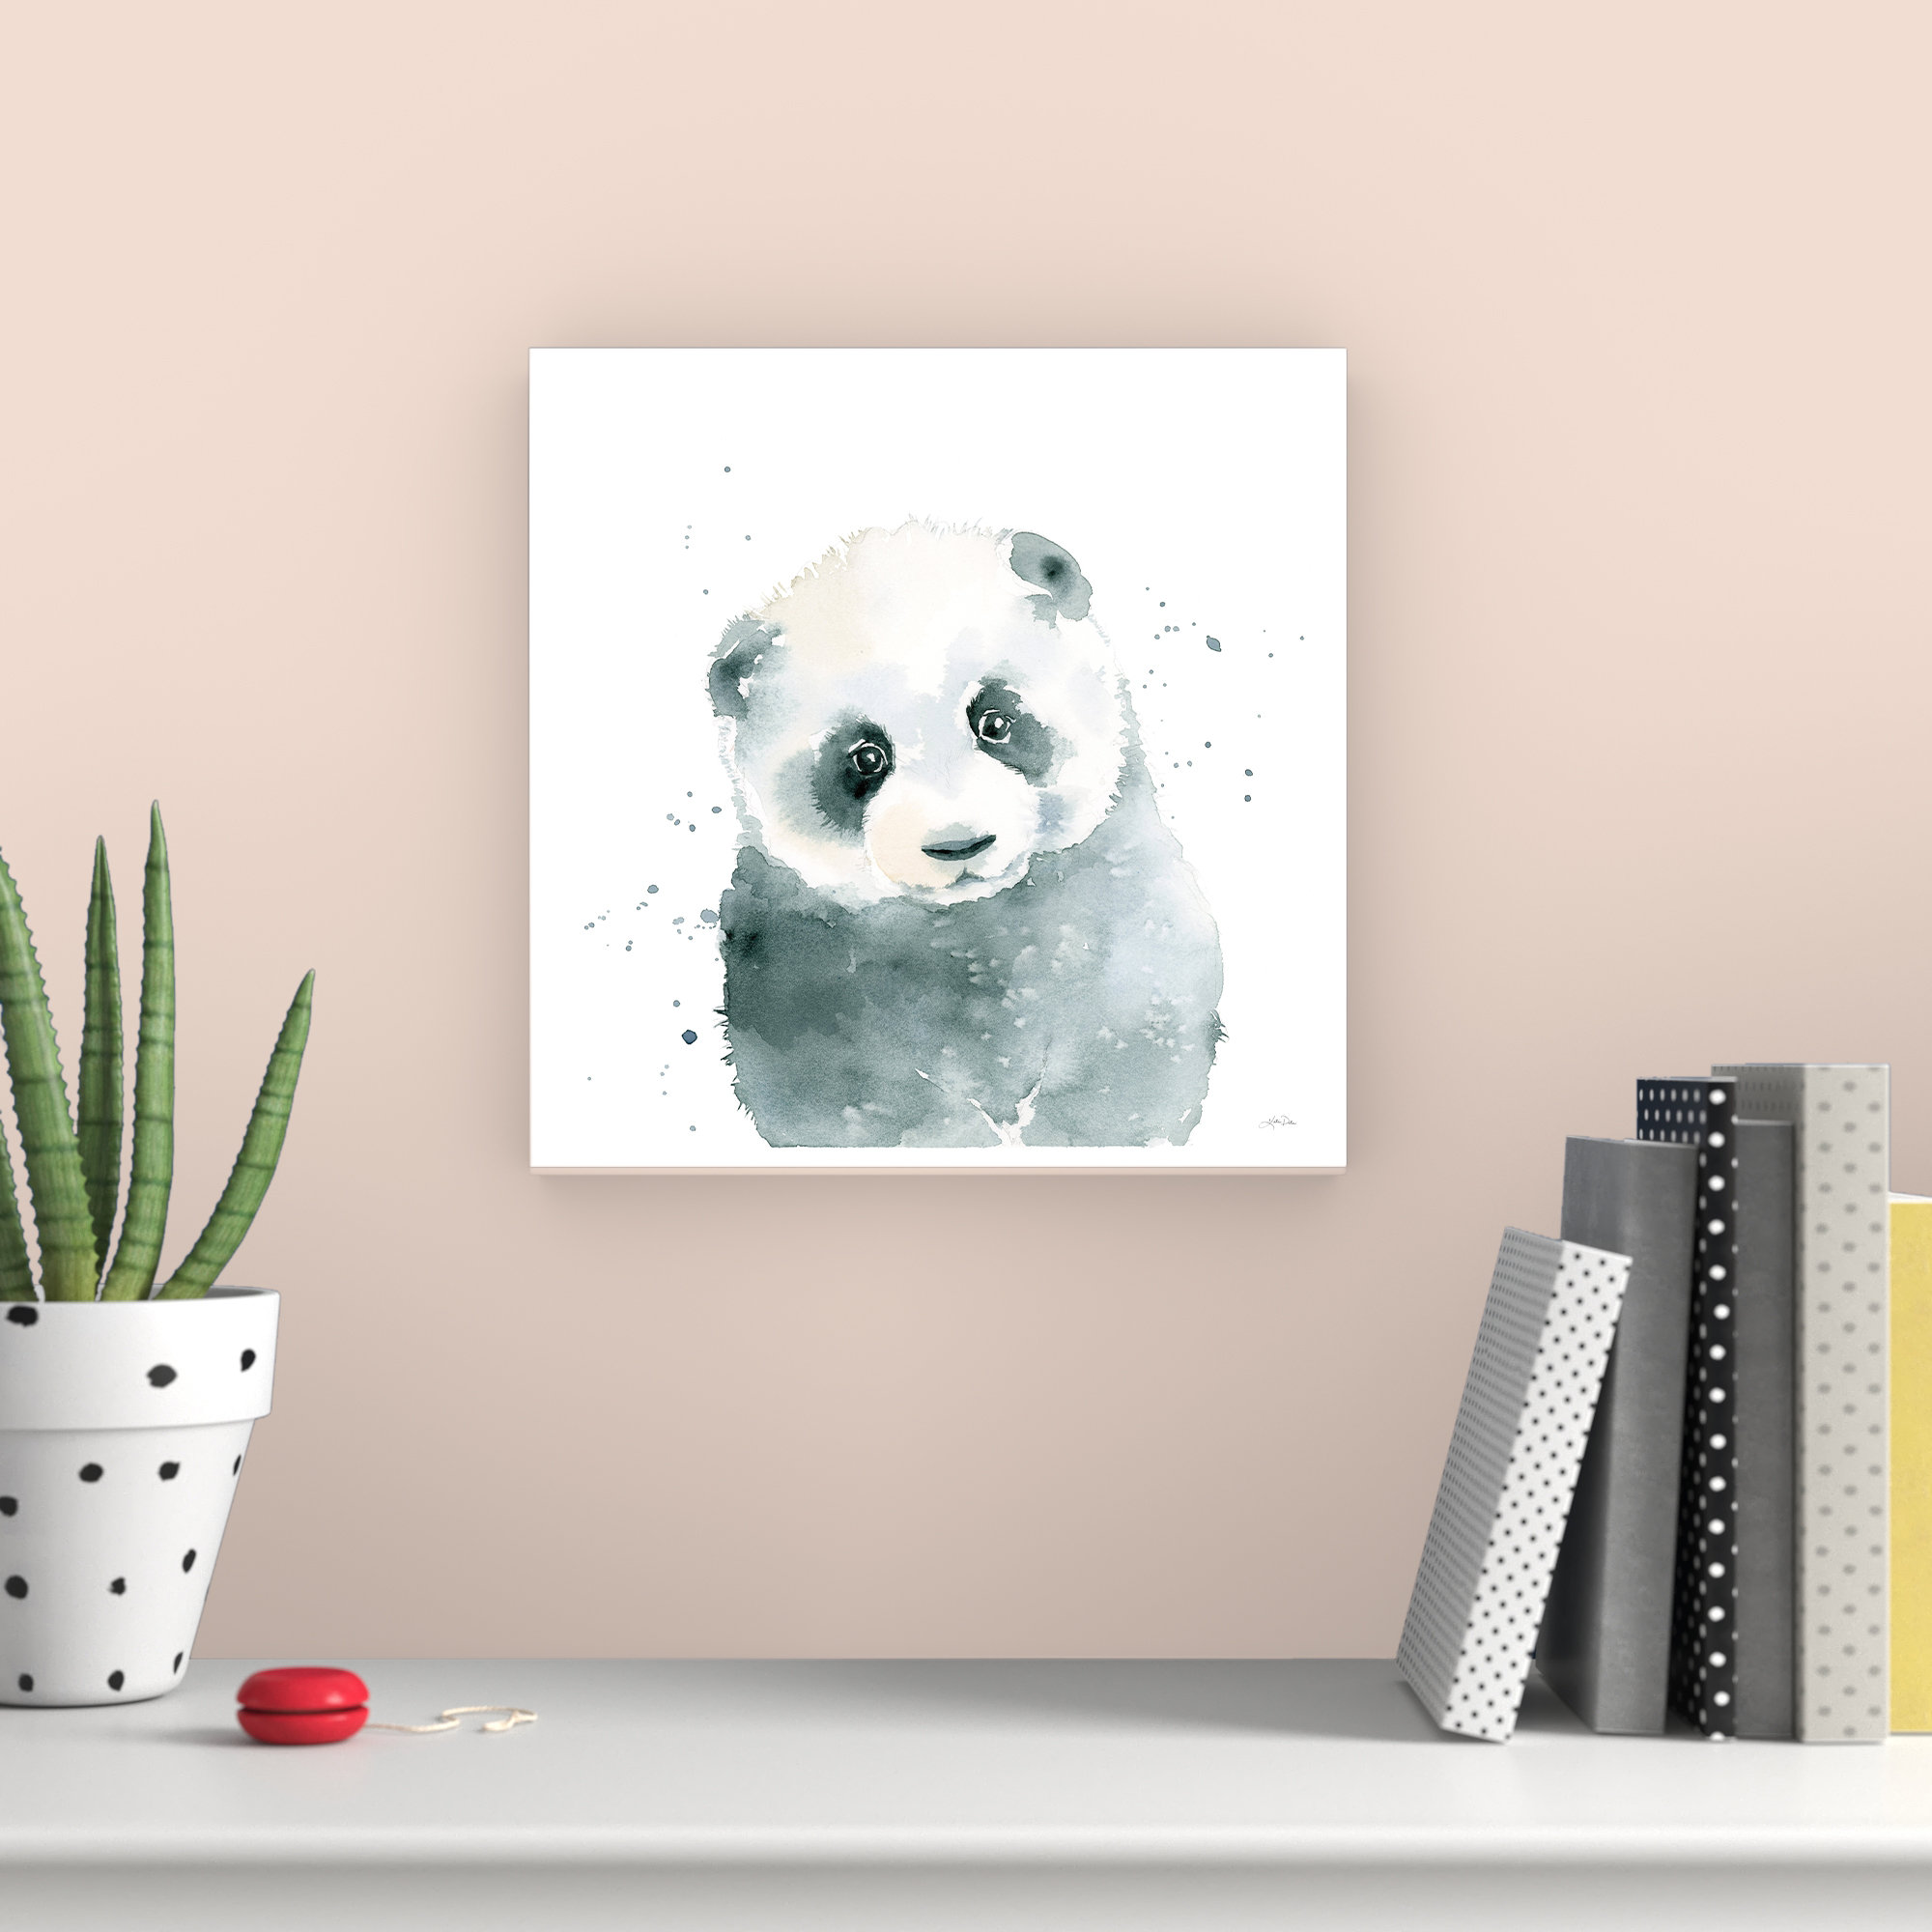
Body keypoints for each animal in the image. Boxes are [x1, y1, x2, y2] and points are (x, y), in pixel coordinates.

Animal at [707, 520, 1223, 1148]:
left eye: (995, 720)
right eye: (866, 757)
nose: (959, 846)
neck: (970, 926)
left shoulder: (1117, 896)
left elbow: (1135, 1037)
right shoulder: (793, 951)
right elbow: (835, 1086)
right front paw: (952, 1134)